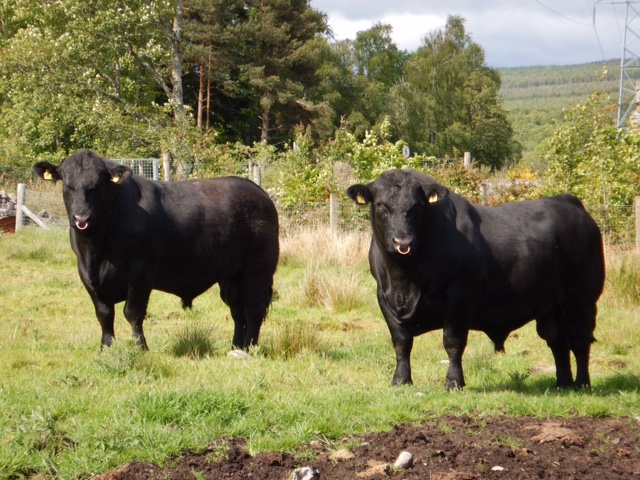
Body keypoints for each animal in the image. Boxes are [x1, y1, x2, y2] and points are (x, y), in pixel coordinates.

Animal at [33, 149, 279, 351]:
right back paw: (236, 346)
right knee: (237, 310)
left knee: (253, 308)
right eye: (67, 186)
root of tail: (258, 191)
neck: (96, 251)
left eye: (98, 186)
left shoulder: (141, 271)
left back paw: (249, 347)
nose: (81, 218)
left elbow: (133, 313)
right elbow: (104, 315)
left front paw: (140, 348)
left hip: (257, 269)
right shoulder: (86, 275)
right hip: (230, 275)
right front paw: (106, 348)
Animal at [347, 169, 604, 391]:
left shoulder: (458, 299)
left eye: (417, 206)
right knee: (558, 342)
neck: (404, 279)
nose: (403, 242)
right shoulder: (385, 299)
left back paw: (582, 383)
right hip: (553, 307)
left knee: (579, 340)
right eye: (381, 205)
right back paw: (563, 383)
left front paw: (454, 382)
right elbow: (401, 342)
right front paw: (400, 380)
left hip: (582, 299)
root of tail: (569, 202)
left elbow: (453, 343)